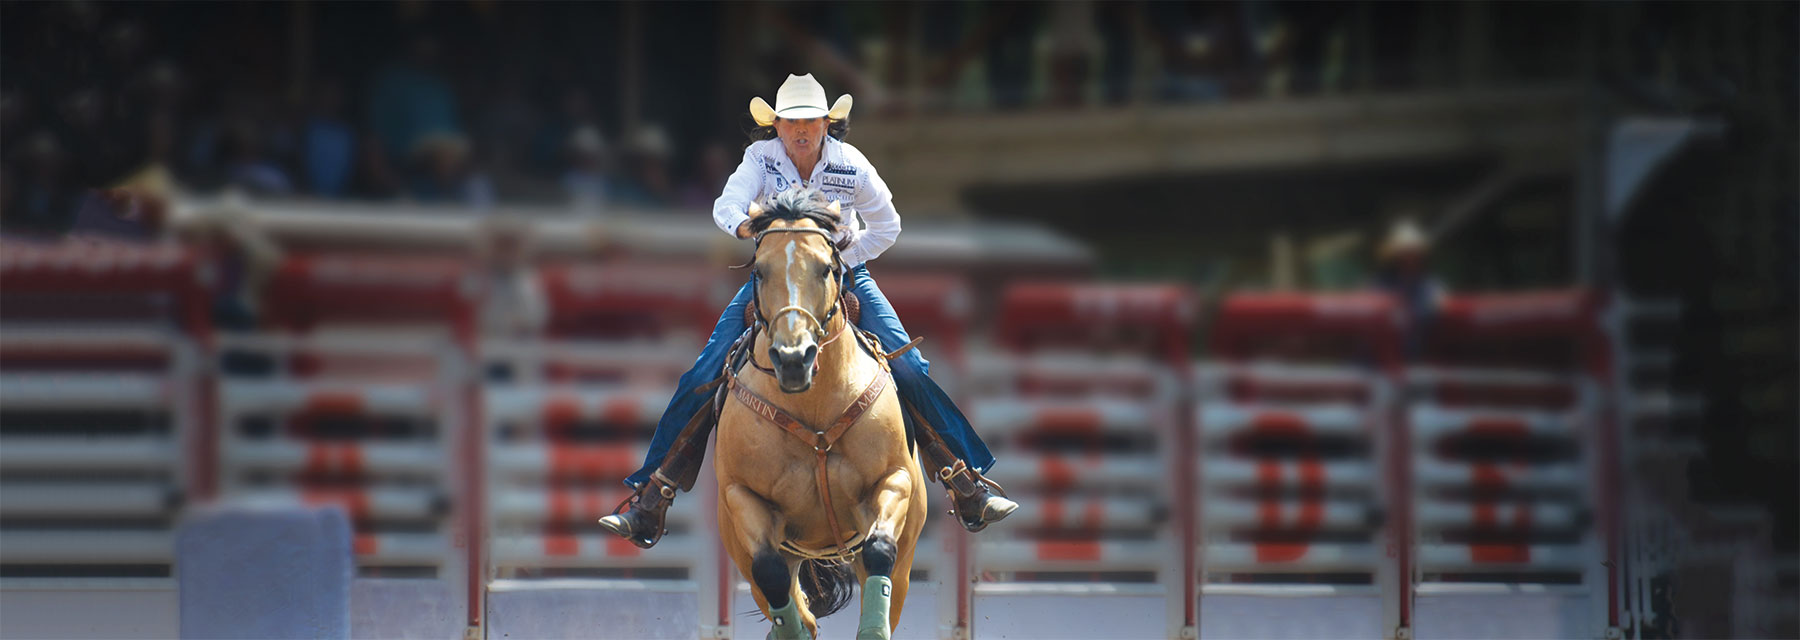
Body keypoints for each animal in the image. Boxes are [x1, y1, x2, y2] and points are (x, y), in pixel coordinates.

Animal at [713, 188, 927, 640]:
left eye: (827, 268)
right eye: (759, 271)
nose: (794, 358)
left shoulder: (894, 478)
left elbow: (880, 548)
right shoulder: (742, 496)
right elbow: (771, 572)